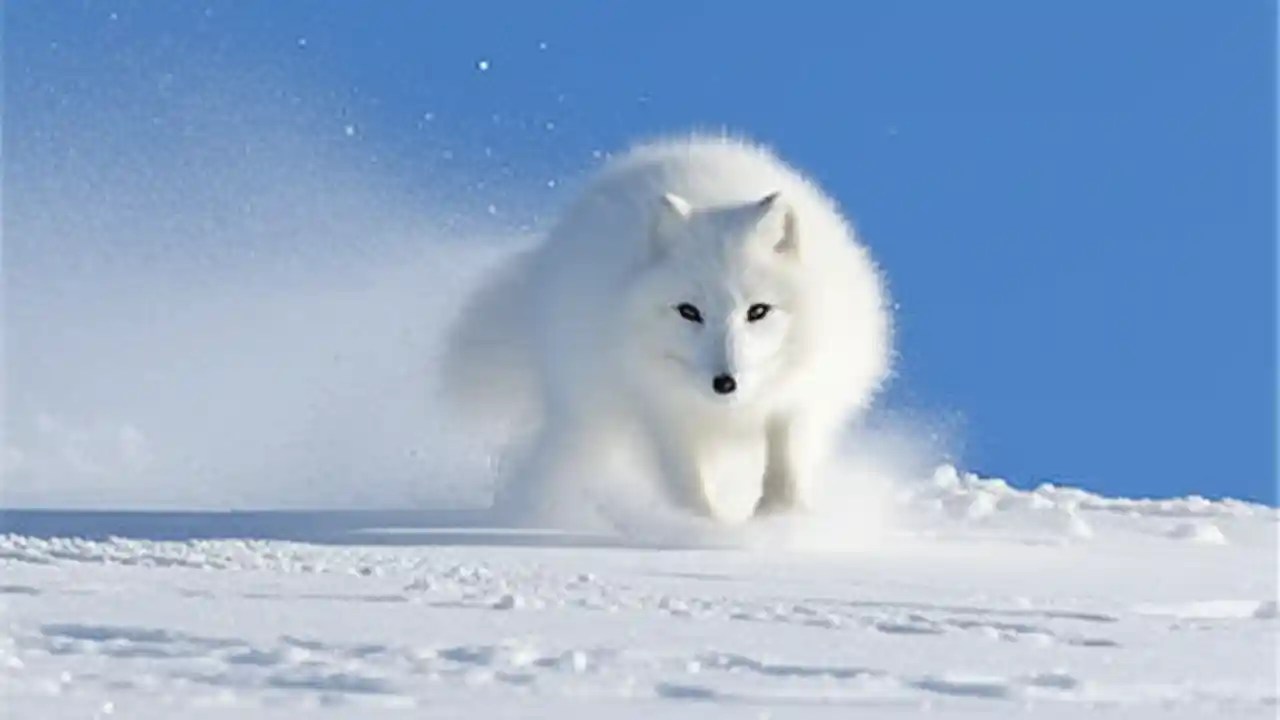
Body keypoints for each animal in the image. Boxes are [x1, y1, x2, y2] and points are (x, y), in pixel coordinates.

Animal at [441, 135, 892, 523]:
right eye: (689, 312)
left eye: (758, 311)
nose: (724, 383)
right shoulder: (658, 405)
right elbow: (684, 479)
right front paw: (702, 527)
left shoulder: (805, 394)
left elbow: (787, 459)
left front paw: (779, 520)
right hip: (590, 410)